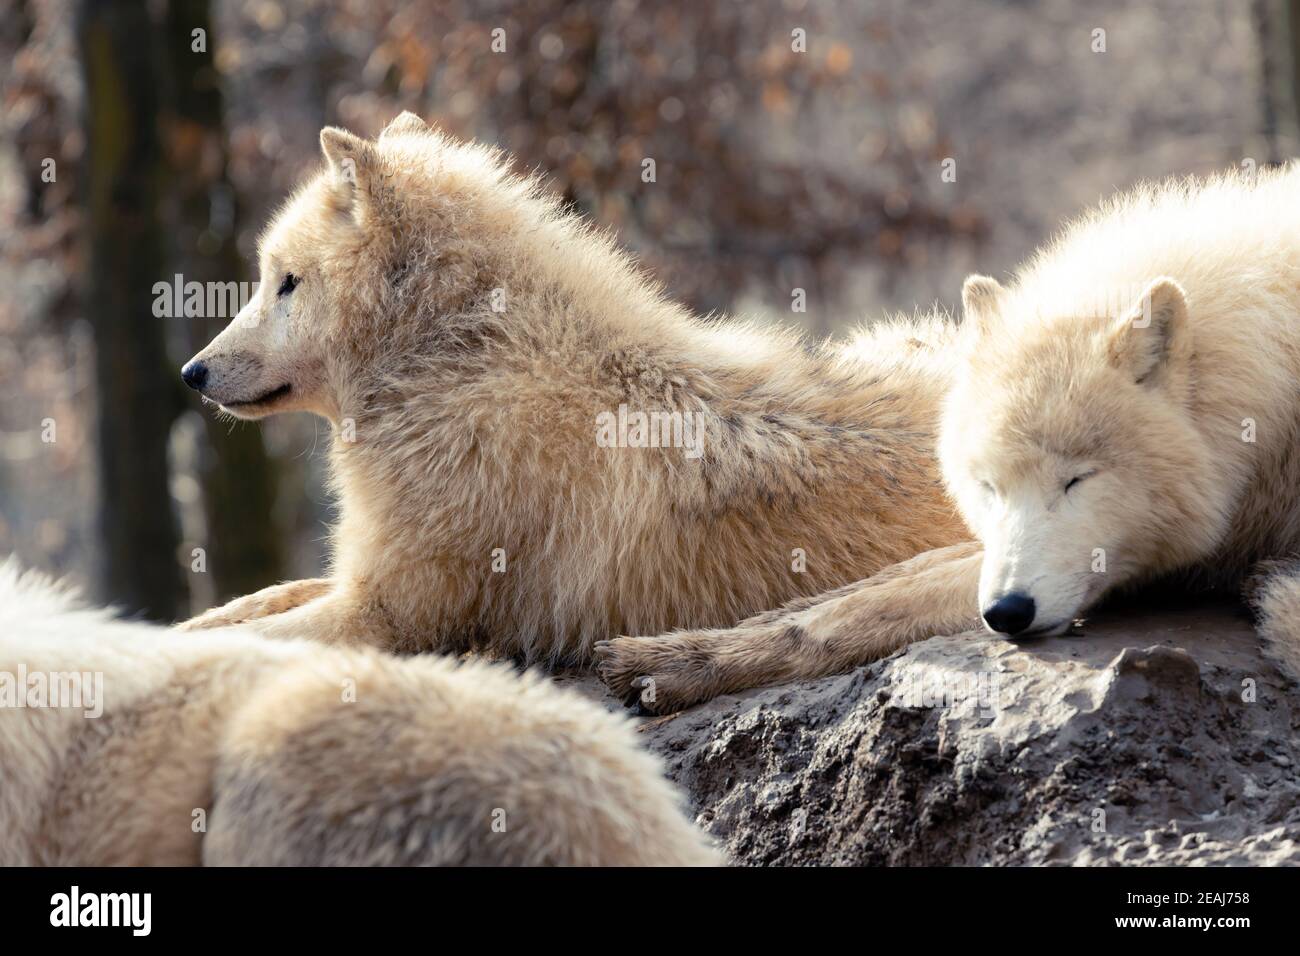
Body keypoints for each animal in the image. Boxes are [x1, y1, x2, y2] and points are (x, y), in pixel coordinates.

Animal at [177, 112, 973, 681]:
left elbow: (243, 640)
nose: (192, 373)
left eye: (286, 282)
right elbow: (247, 606)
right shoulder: (362, 577)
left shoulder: (392, 613)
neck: (459, 362)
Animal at [604, 164, 1300, 709]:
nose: (1008, 613)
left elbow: (866, 608)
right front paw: (692, 649)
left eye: (1077, 481)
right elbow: (888, 578)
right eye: (990, 487)